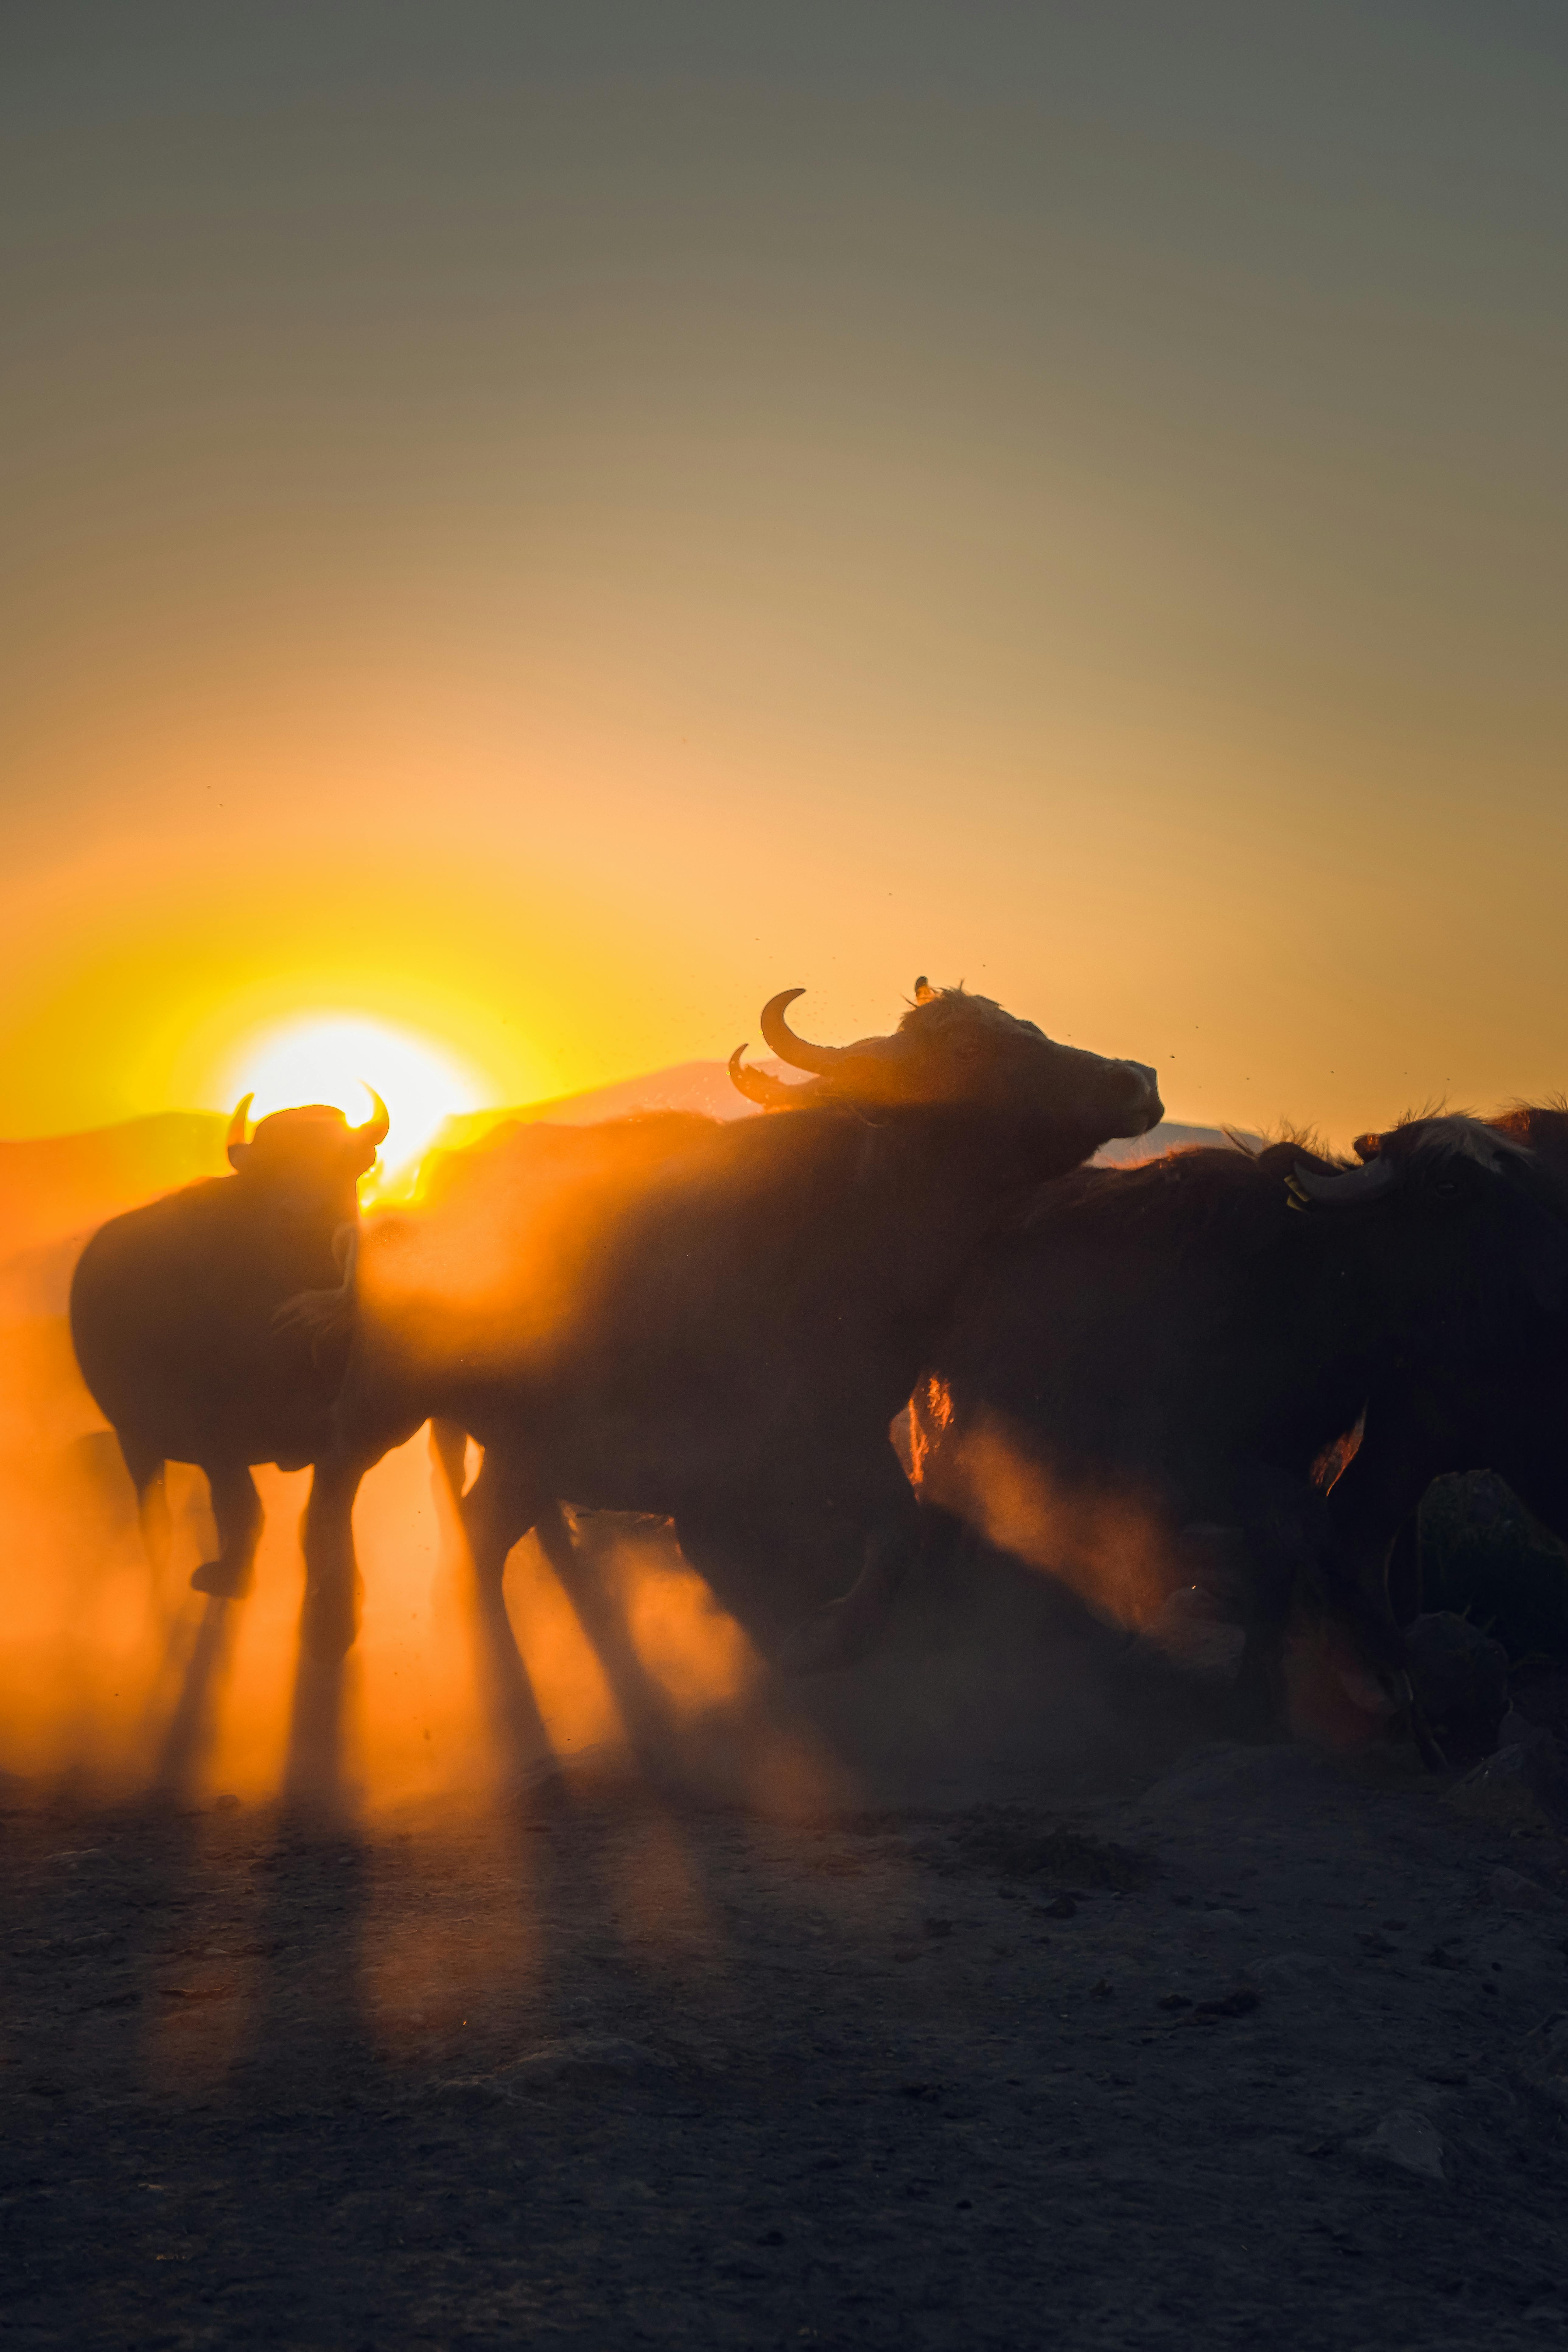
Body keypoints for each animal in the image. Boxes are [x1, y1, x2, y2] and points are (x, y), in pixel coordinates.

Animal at [69, 1091, 389, 1600]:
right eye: (271, 1167)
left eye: (344, 1162)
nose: (305, 1215)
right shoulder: (216, 1440)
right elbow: (241, 1509)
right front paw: (229, 1578)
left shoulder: (345, 1443)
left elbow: (328, 1517)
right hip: (133, 1439)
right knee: (154, 1511)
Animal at [285, 980, 1162, 1665]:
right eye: (968, 1048)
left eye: (1024, 1023)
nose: (1137, 1080)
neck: (833, 1240)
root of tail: (397, 1207)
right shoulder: (724, 1469)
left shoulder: (841, 1439)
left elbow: (896, 1531)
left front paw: (825, 1634)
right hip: (384, 1401)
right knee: (335, 1486)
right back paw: (335, 1618)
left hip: (514, 1446)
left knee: (478, 1526)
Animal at [909, 1118, 1568, 1745]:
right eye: (1449, 1186)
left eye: (1522, 1175)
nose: (1555, 1270)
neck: (1307, 1279)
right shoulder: (1186, 1464)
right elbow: (1303, 1523)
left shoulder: (1287, 1456)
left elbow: (1274, 1561)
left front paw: (1261, 1699)